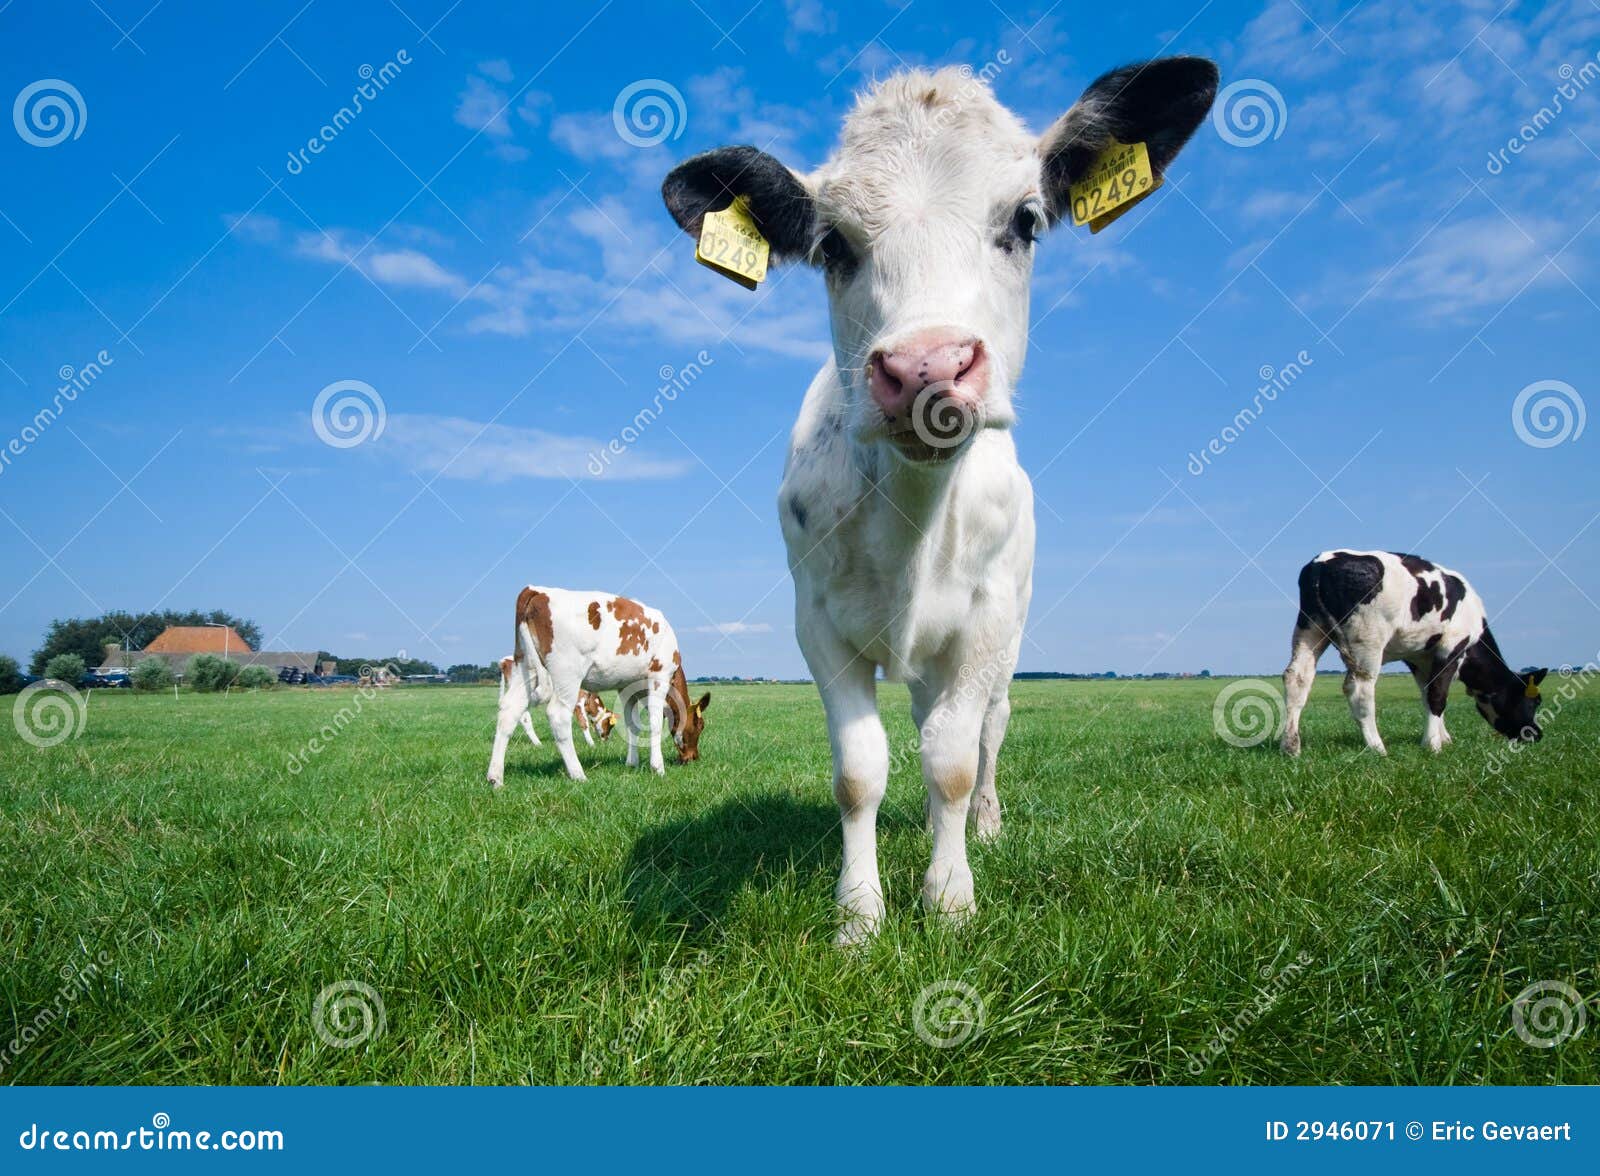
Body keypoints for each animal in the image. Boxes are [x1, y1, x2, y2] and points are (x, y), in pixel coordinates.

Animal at [487, 587, 709, 786]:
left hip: (526, 668)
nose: (693, 758)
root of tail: (536, 591)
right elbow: (655, 723)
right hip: (567, 673)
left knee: (510, 711)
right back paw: (578, 774)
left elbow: (632, 724)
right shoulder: (659, 675)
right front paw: (658, 768)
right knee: (558, 715)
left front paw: (632, 763)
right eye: (700, 726)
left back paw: (495, 778)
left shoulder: (626, 687)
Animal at [661, 58, 1218, 943]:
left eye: (1025, 220)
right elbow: (861, 771)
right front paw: (860, 915)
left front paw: (951, 896)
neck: (910, 524)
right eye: (831, 244)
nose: (926, 367)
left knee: (987, 728)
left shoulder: (986, 620)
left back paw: (979, 825)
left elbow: (954, 761)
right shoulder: (816, 622)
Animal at [1281, 550, 1548, 756]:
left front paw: (1443, 737)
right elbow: (1438, 695)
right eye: (1535, 701)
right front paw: (1432, 745)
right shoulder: (1451, 646)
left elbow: (1426, 693)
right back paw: (1377, 747)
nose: (1536, 735)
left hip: (1310, 628)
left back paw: (1291, 746)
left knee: (1297, 678)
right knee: (1359, 688)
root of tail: (1321, 563)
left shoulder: (1419, 657)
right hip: (1368, 638)